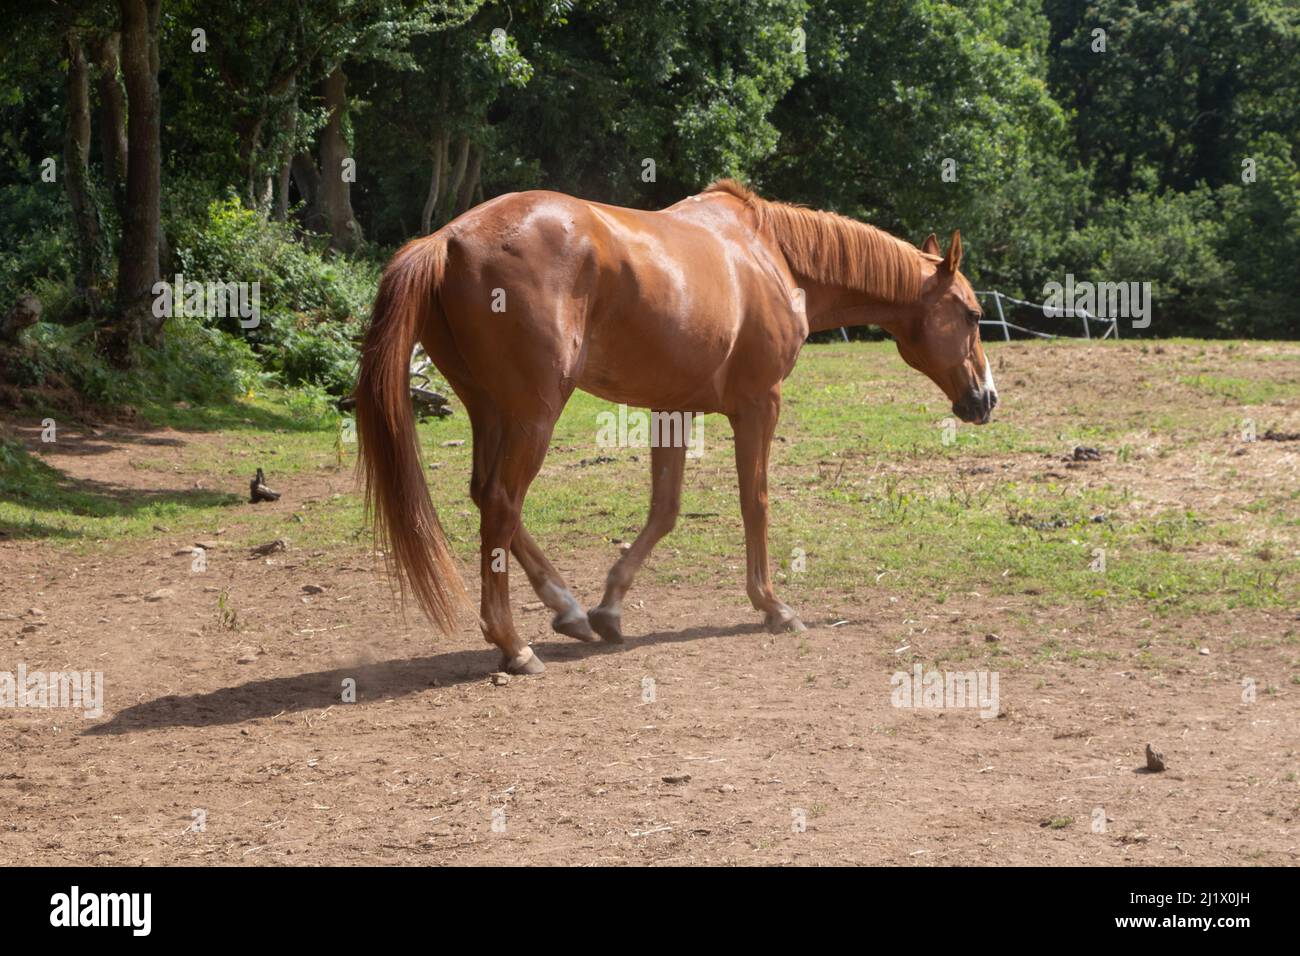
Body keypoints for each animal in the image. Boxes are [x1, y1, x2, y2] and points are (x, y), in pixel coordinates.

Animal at [355, 179, 998, 675]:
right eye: (971, 314)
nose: (986, 398)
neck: (770, 256)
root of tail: (448, 239)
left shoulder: (674, 410)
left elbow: (664, 510)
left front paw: (609, 608)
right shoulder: (759, 405)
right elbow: (755, 501)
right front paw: (773, 606)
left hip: (491, 410)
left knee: (487, 498)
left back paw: (567, 609)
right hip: (533, 414)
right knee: (501, 502)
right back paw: (515, 645)